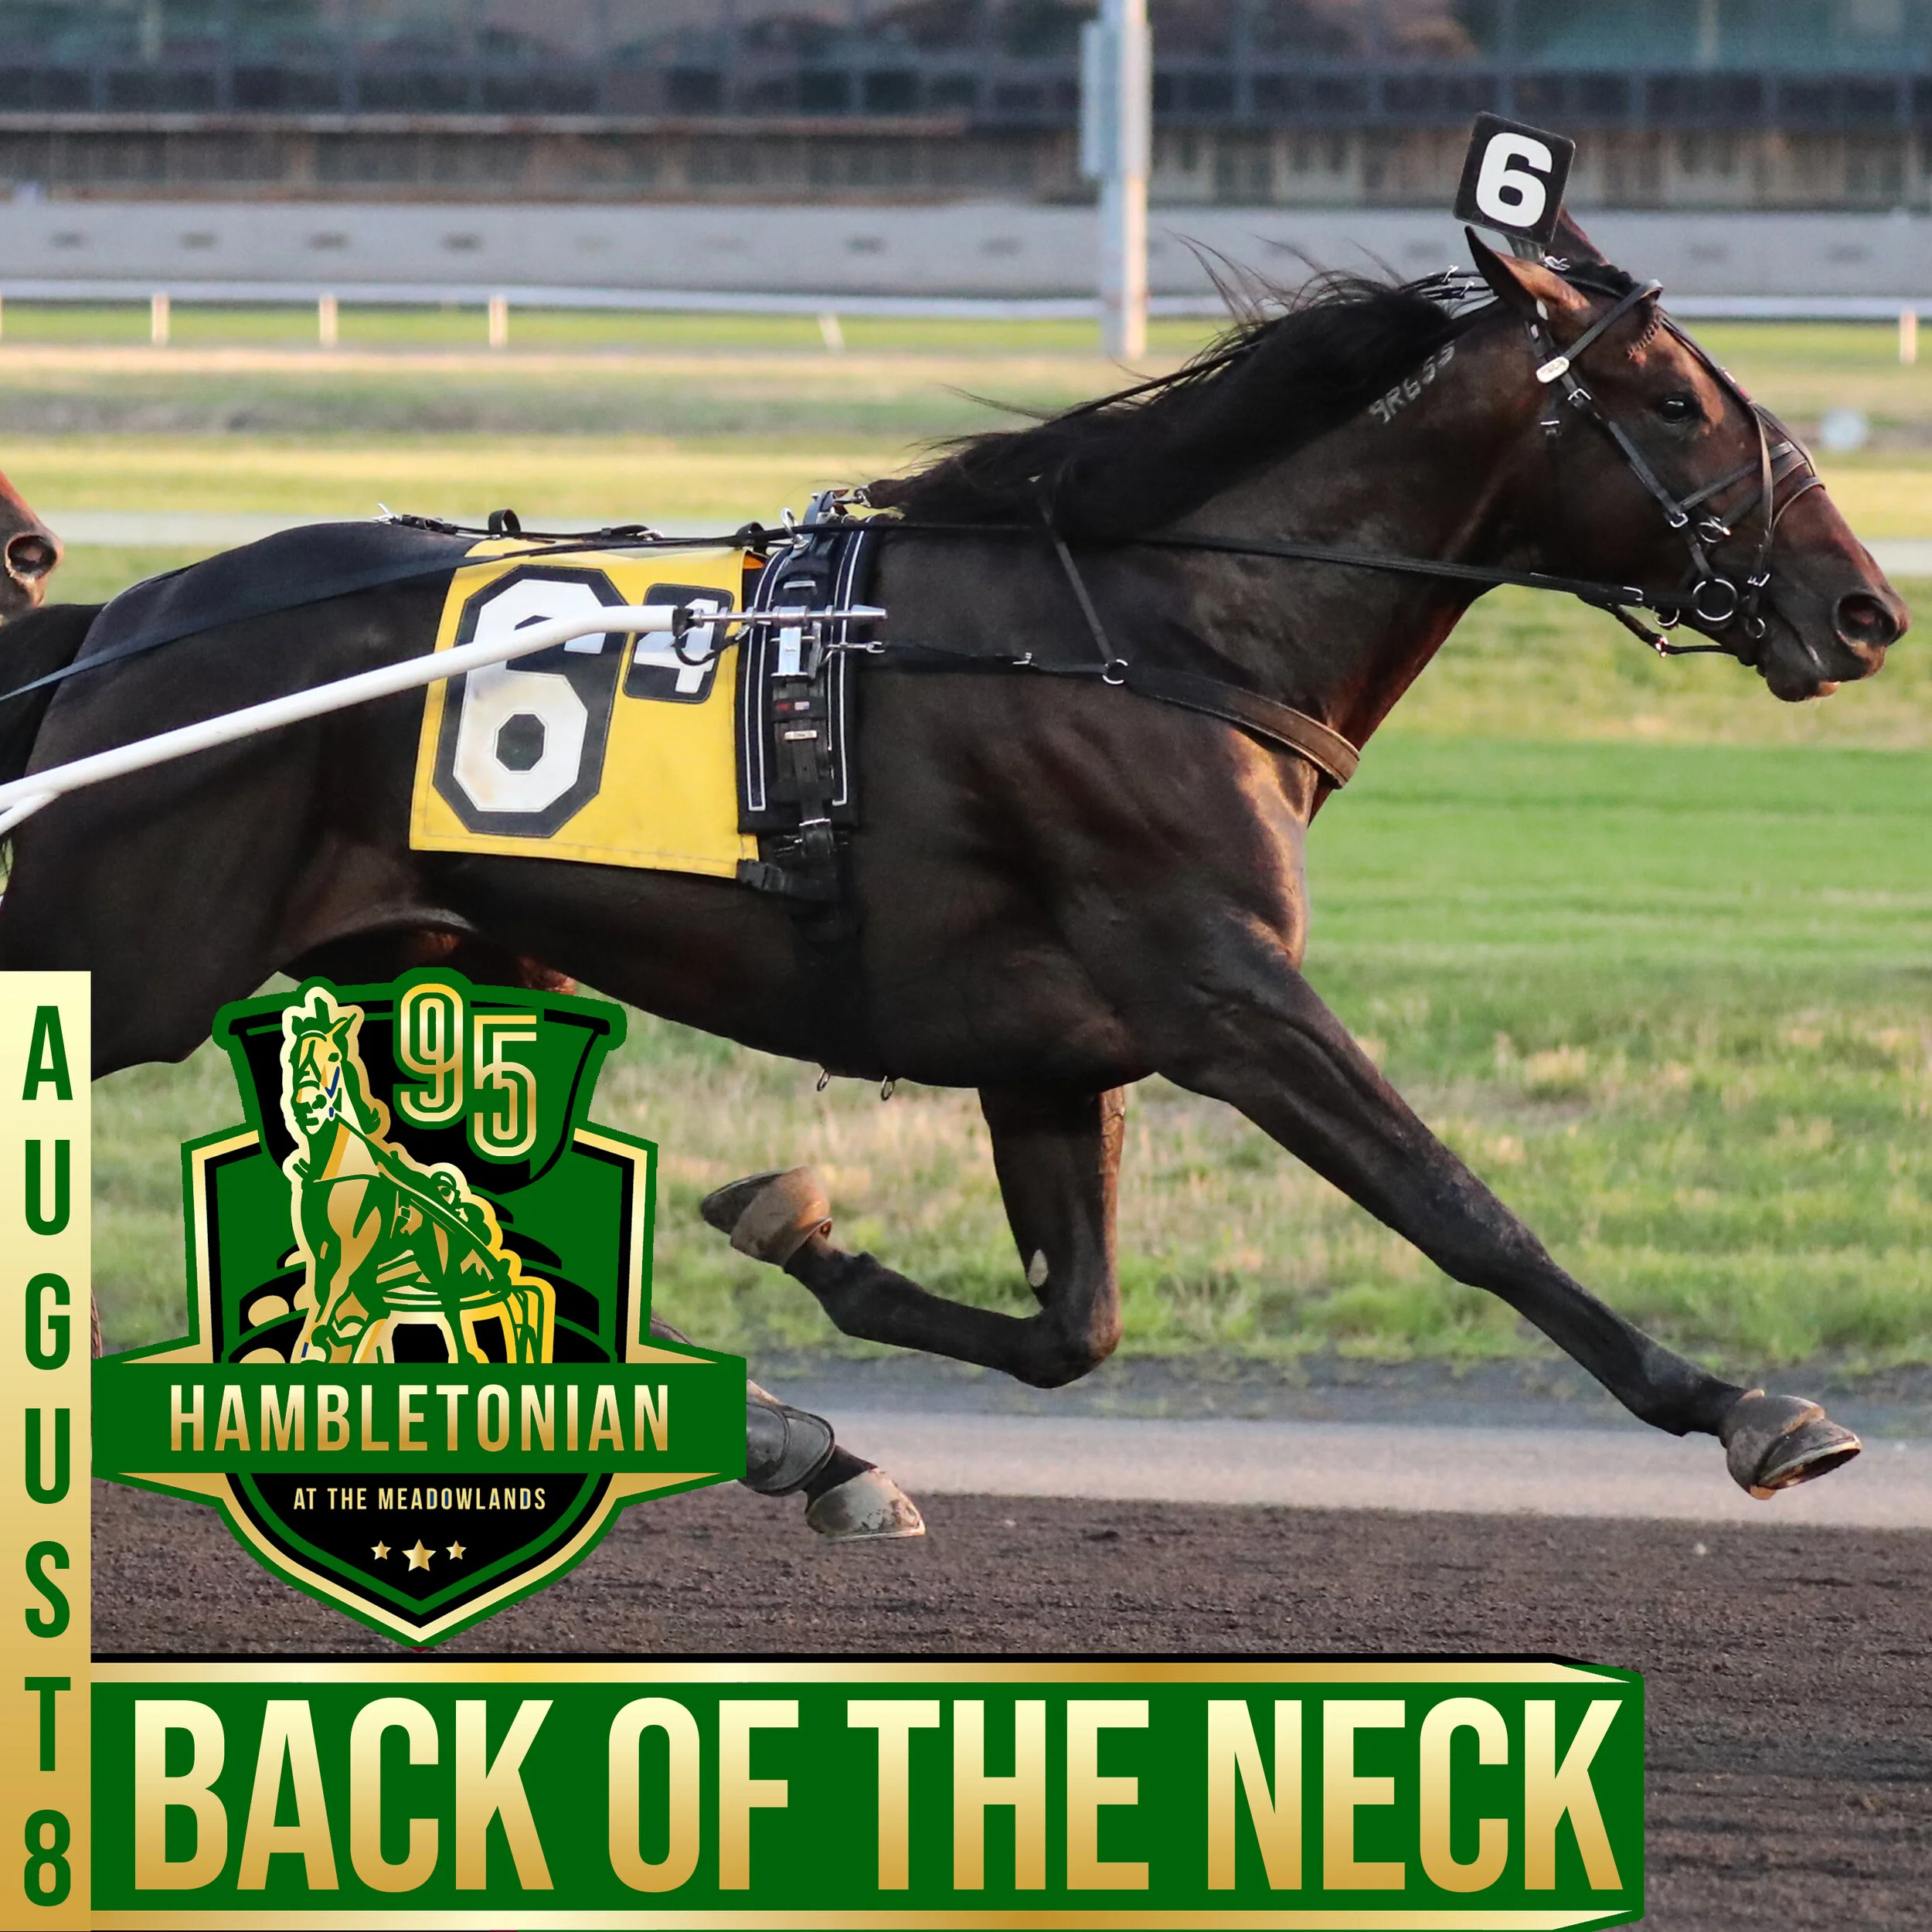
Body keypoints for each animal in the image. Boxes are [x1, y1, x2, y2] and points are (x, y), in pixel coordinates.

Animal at [0, 220, 1906, 1508]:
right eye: (1675, 399)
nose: (1863, 608)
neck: (1159, 631)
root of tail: (131, 623)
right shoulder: (1221, 992)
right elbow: (1460, 1207)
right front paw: (1740, 1404)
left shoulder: (1052, 1048)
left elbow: (1077, 1328)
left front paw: (799, 1265)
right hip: (127, 948)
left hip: (437, 963)